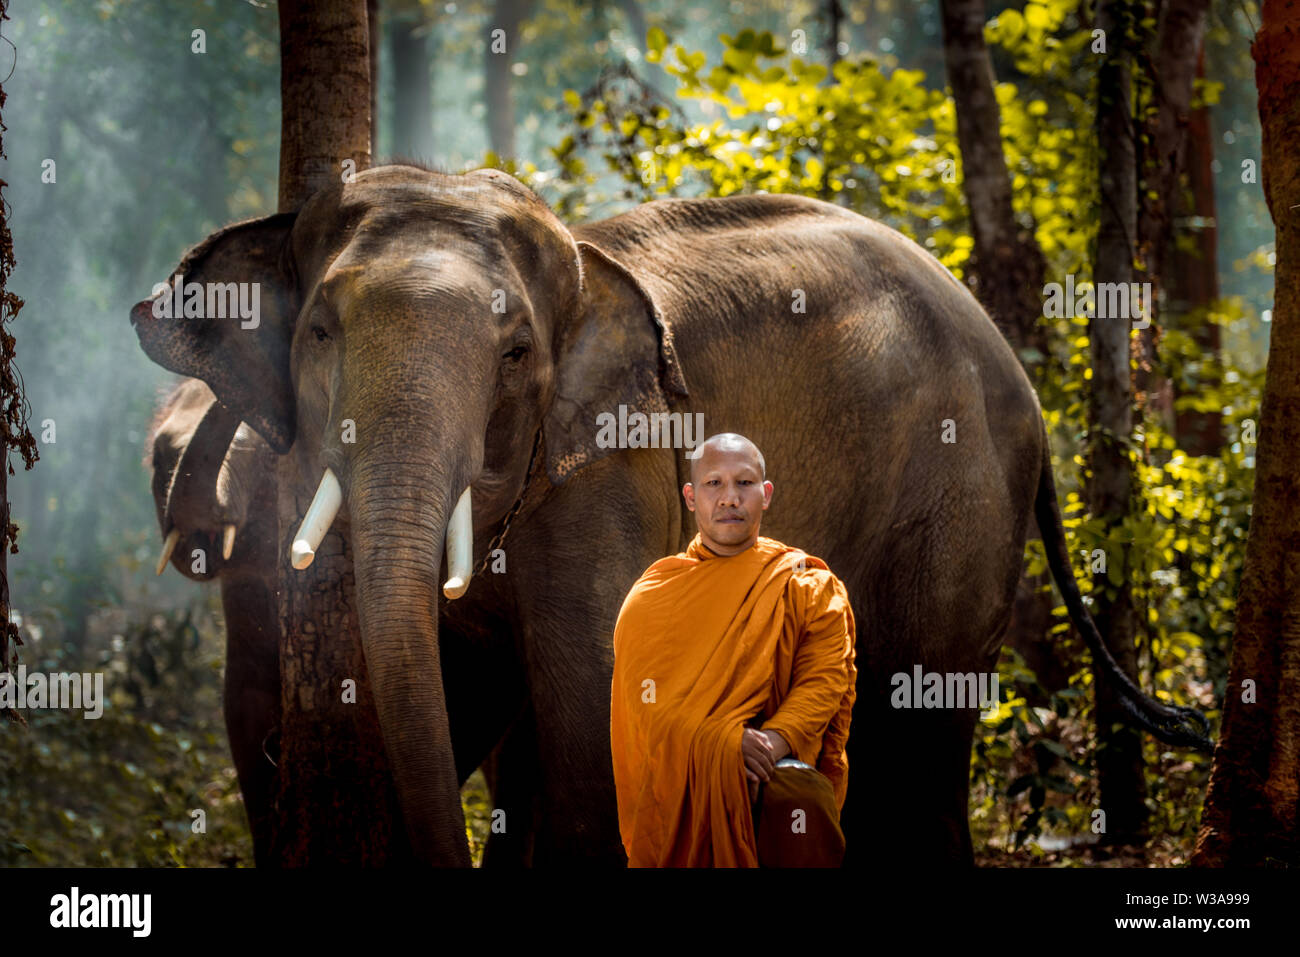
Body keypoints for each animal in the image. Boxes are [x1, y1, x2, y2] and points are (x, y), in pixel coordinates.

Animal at [132, 164, 1209, 866]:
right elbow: (453, 694)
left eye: (517, 354)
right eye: (318, 332)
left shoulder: (614, 470)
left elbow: (587, 718)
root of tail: (1025, 390)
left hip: (961, 499)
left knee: (921, 720)